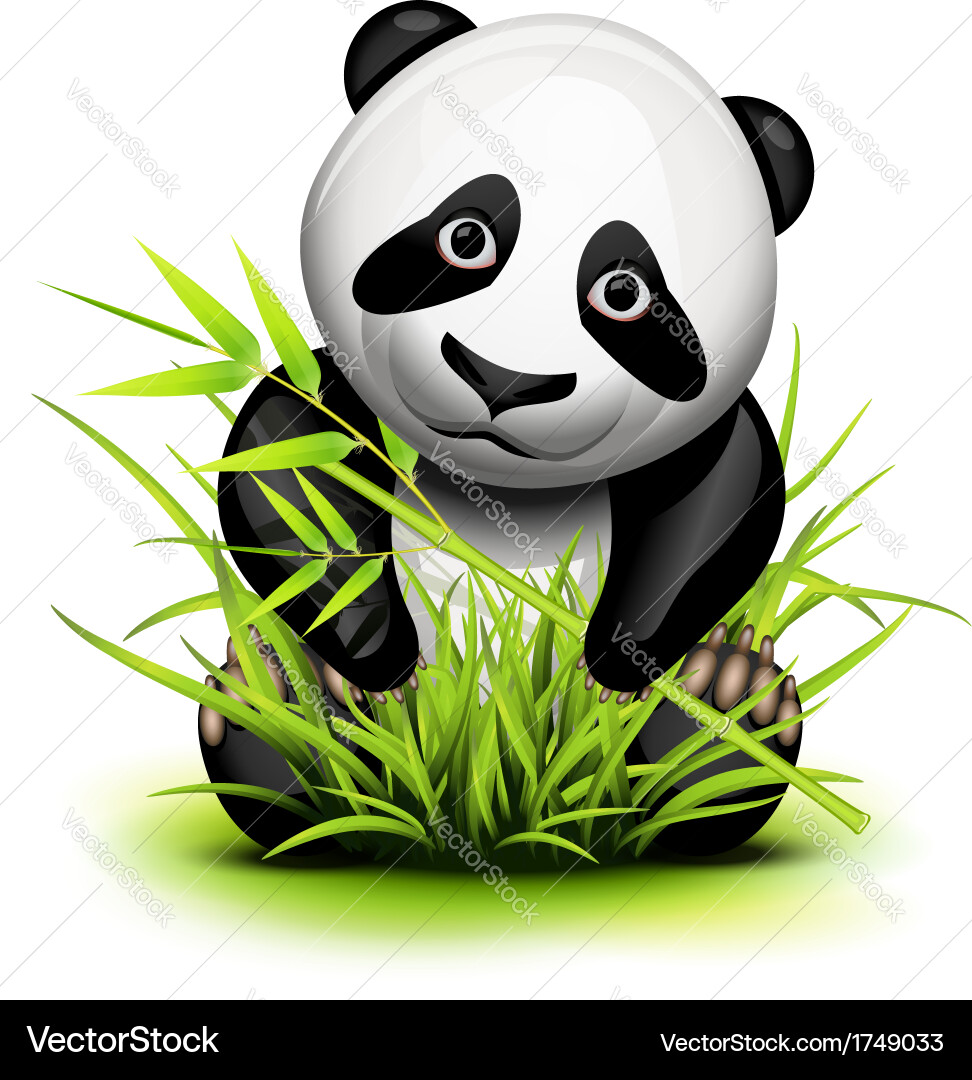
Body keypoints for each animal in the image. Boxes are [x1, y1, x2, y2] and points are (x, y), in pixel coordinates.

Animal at [200, 3, 815, 857]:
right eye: (466, 237)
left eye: (622, 291)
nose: (503, 378)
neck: (503, 494)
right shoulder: (341, 405)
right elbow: (285, 469)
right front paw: (379, 650)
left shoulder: (694, 443)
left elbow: (724, 495)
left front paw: (614, 659)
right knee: (319, 781)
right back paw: (272, 707)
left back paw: (730, 712)